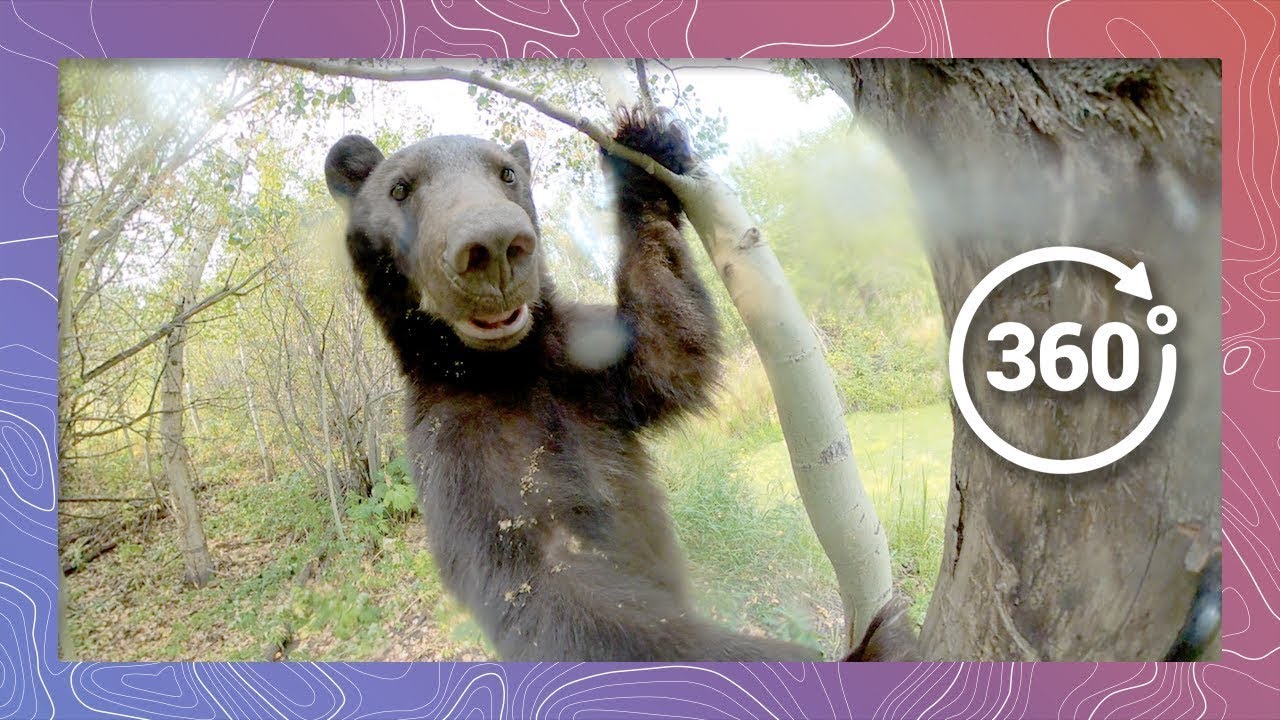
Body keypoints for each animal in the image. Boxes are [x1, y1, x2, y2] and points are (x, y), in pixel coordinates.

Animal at [325, 107, 824, 661]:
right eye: (400, 187)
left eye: (507, 174)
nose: (493, 245)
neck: (507, 369)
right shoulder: (461, 451)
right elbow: (549, 587)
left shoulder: (582, 367)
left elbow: (666, 346)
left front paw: (641, 149)